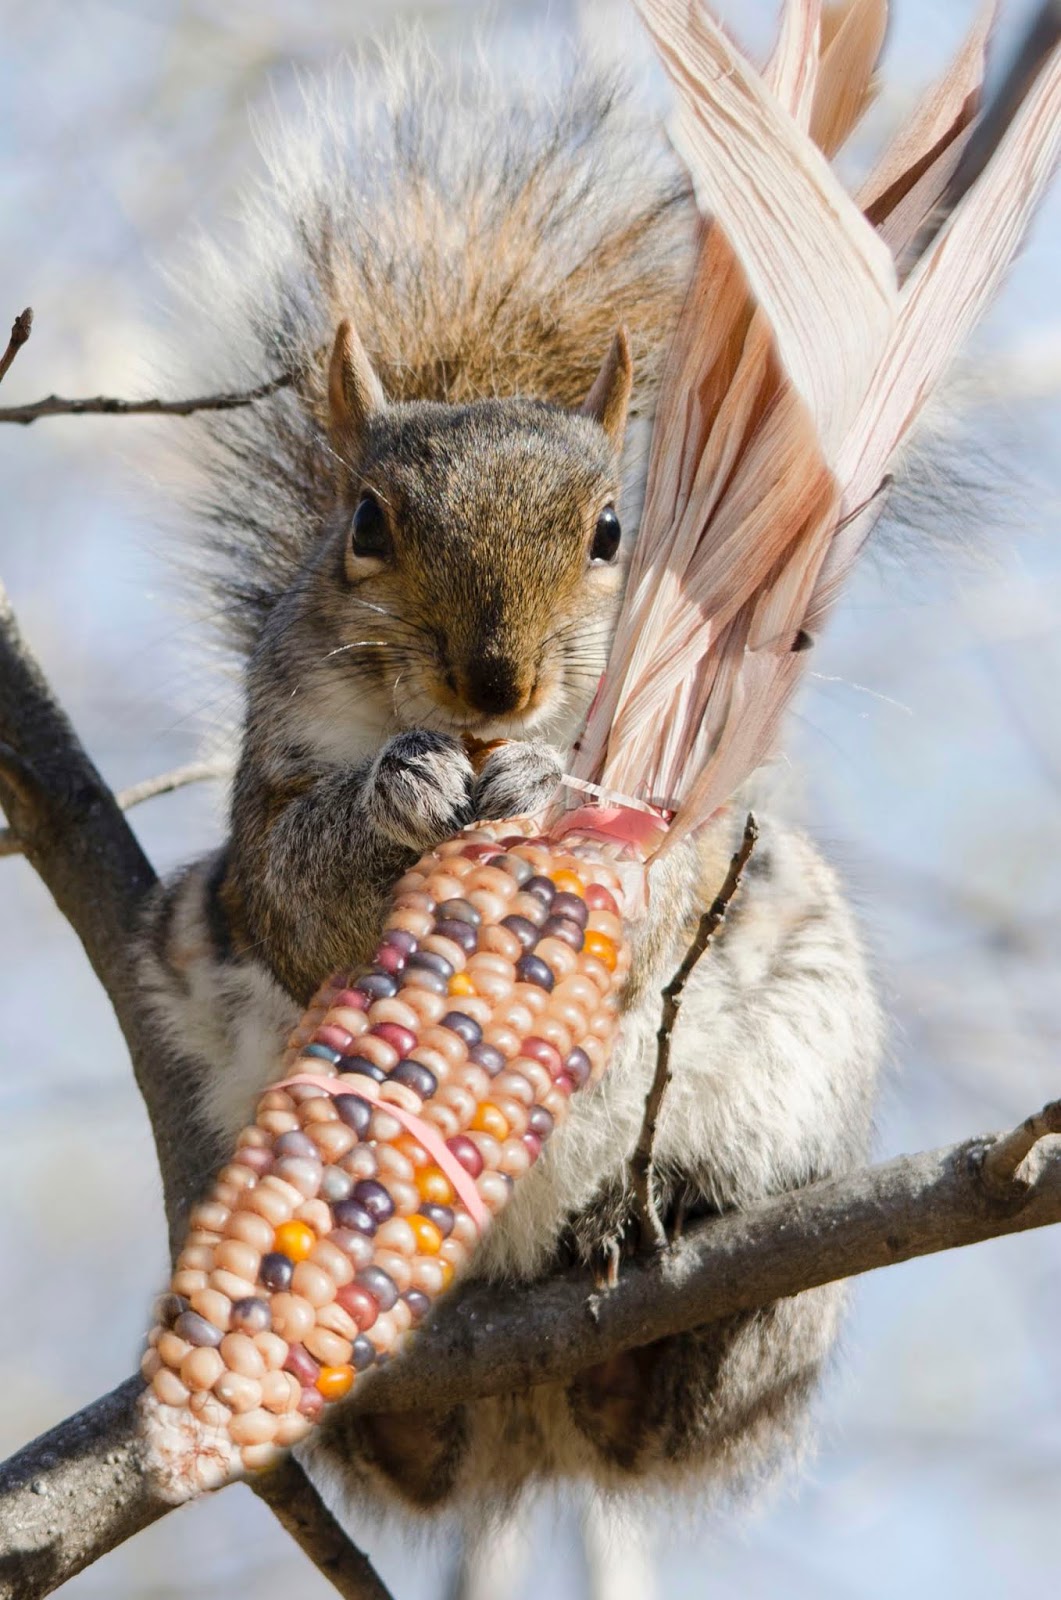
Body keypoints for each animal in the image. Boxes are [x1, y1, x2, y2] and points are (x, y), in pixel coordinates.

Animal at [138, 45, 883, 1527]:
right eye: (365, 524)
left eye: (610, 534)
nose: (495, 688)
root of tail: (526, 1429)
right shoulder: (261, 808)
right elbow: (294, 894)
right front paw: (397, 786)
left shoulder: (693, 818)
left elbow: (654, 882)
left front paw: (538, 776)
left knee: (684, 1389)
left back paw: (653, 1234)